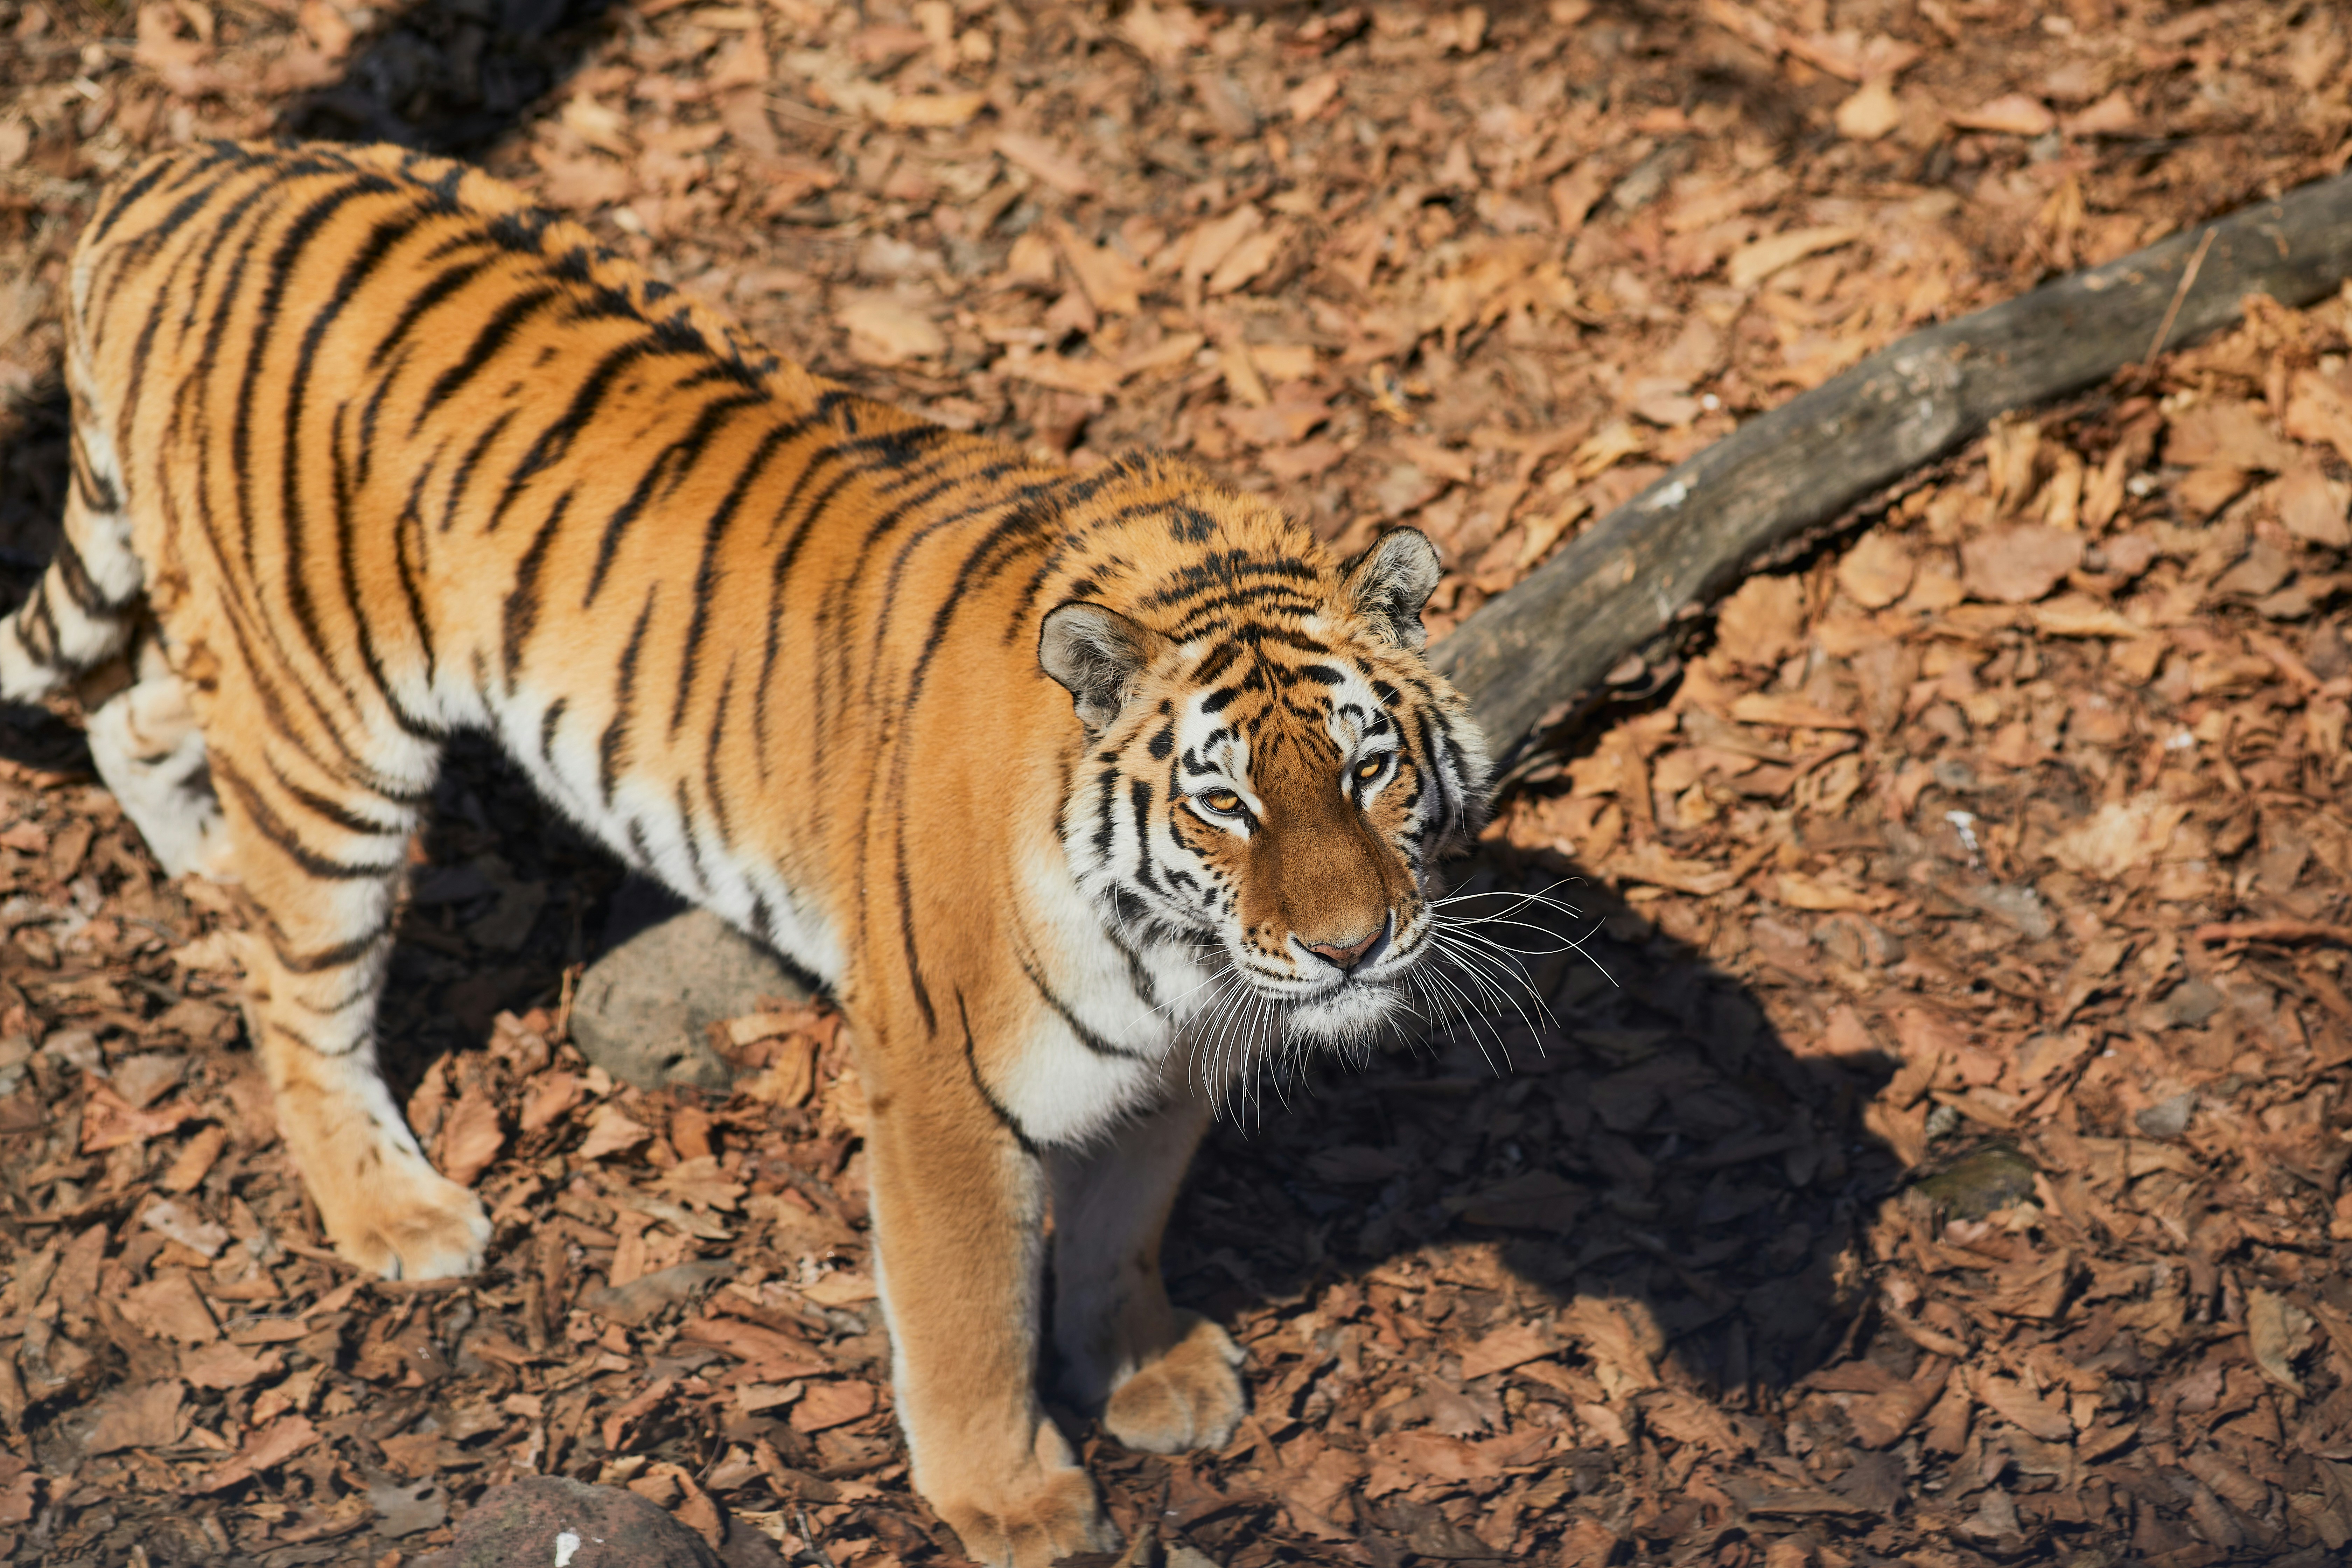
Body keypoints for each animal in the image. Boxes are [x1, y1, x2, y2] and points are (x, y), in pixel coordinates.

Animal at [0, 140, 1492, 1564]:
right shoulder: (944, 1085)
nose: (1349, 947)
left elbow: (1123, 1228)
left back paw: (202, 855)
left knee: (131, 706)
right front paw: (1009, 1500)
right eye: (1222, 804)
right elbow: (969, 1316)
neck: (1175, 954)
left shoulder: (1174, 1063)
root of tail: (186, 169)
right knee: (291, 980)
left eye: (1366, 769)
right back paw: (395, 1214)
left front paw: (1144, 1372)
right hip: (329, 728)